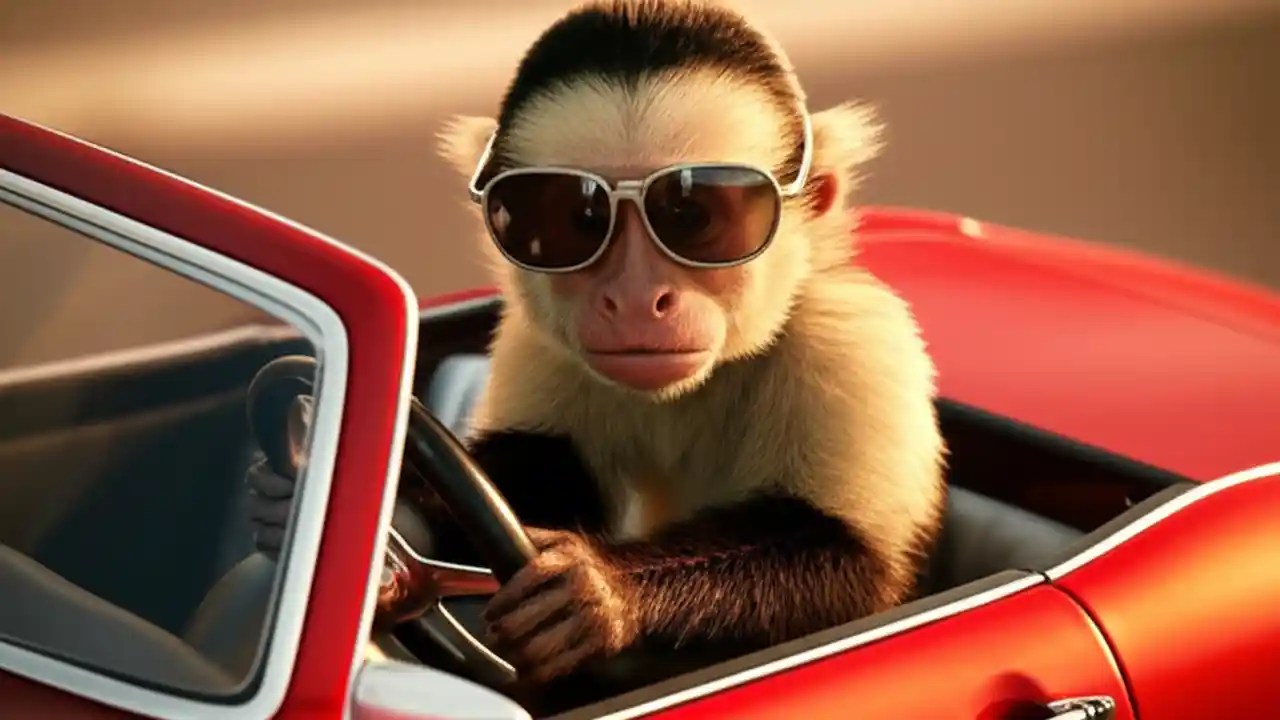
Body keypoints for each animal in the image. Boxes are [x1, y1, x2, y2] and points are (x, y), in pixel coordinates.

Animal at [248, 0, 946, 687]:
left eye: (693, 214)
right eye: (571, 218)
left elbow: (852, 560)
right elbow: (536, 472)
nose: (635, 299)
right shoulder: (542, 340)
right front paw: (344, 514)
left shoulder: (848, 336)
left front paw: (603, 593)